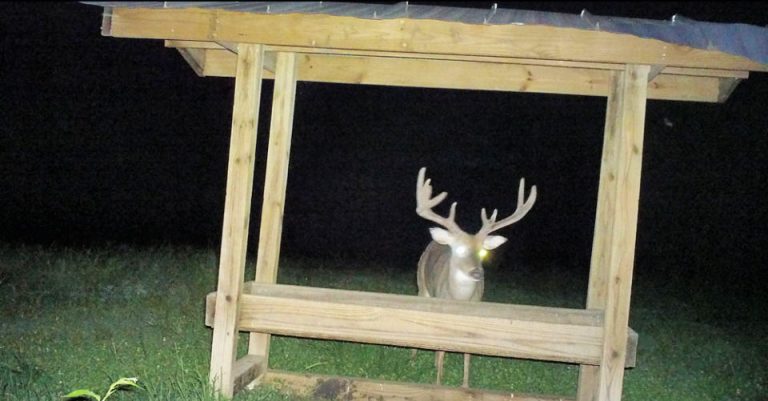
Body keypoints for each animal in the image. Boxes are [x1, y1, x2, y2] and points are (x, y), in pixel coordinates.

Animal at [415, 167, 537, 388]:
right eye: (460, 249)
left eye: (482, 252)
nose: (477, 273)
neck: (460, 299)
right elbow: (441, 348)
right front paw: (438, 383)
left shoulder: (476, 309)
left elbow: (468, 351)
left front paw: (464, 385)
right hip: (422, 287)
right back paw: (413, 359)